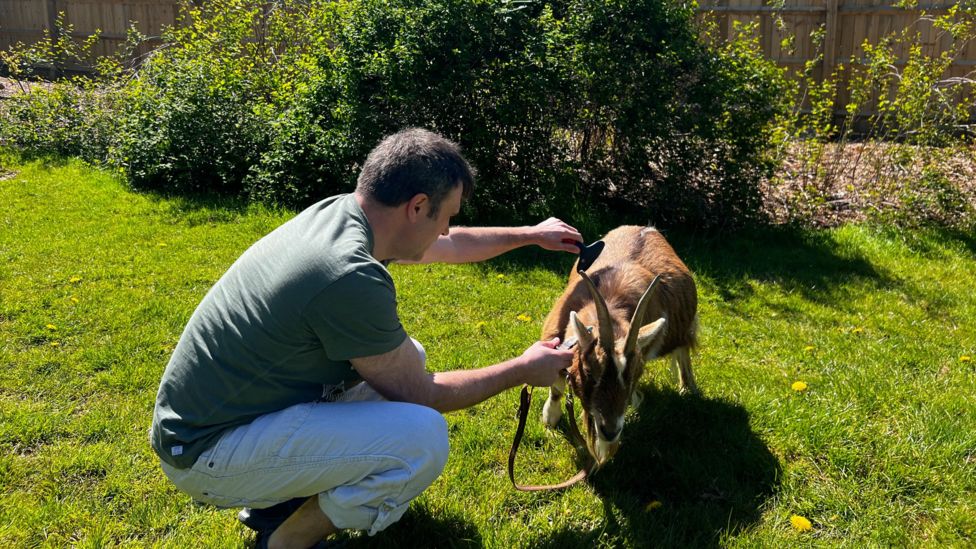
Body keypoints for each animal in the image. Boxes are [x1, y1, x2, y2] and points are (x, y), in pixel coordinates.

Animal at [540, 225, 698, 465]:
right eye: (589, 372)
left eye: (634, 375)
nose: (610, 431)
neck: (610, 299)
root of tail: (646, 228)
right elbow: (556, 385)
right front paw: (550, 418)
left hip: (683, 327)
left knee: (683, 349)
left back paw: (687, 389)